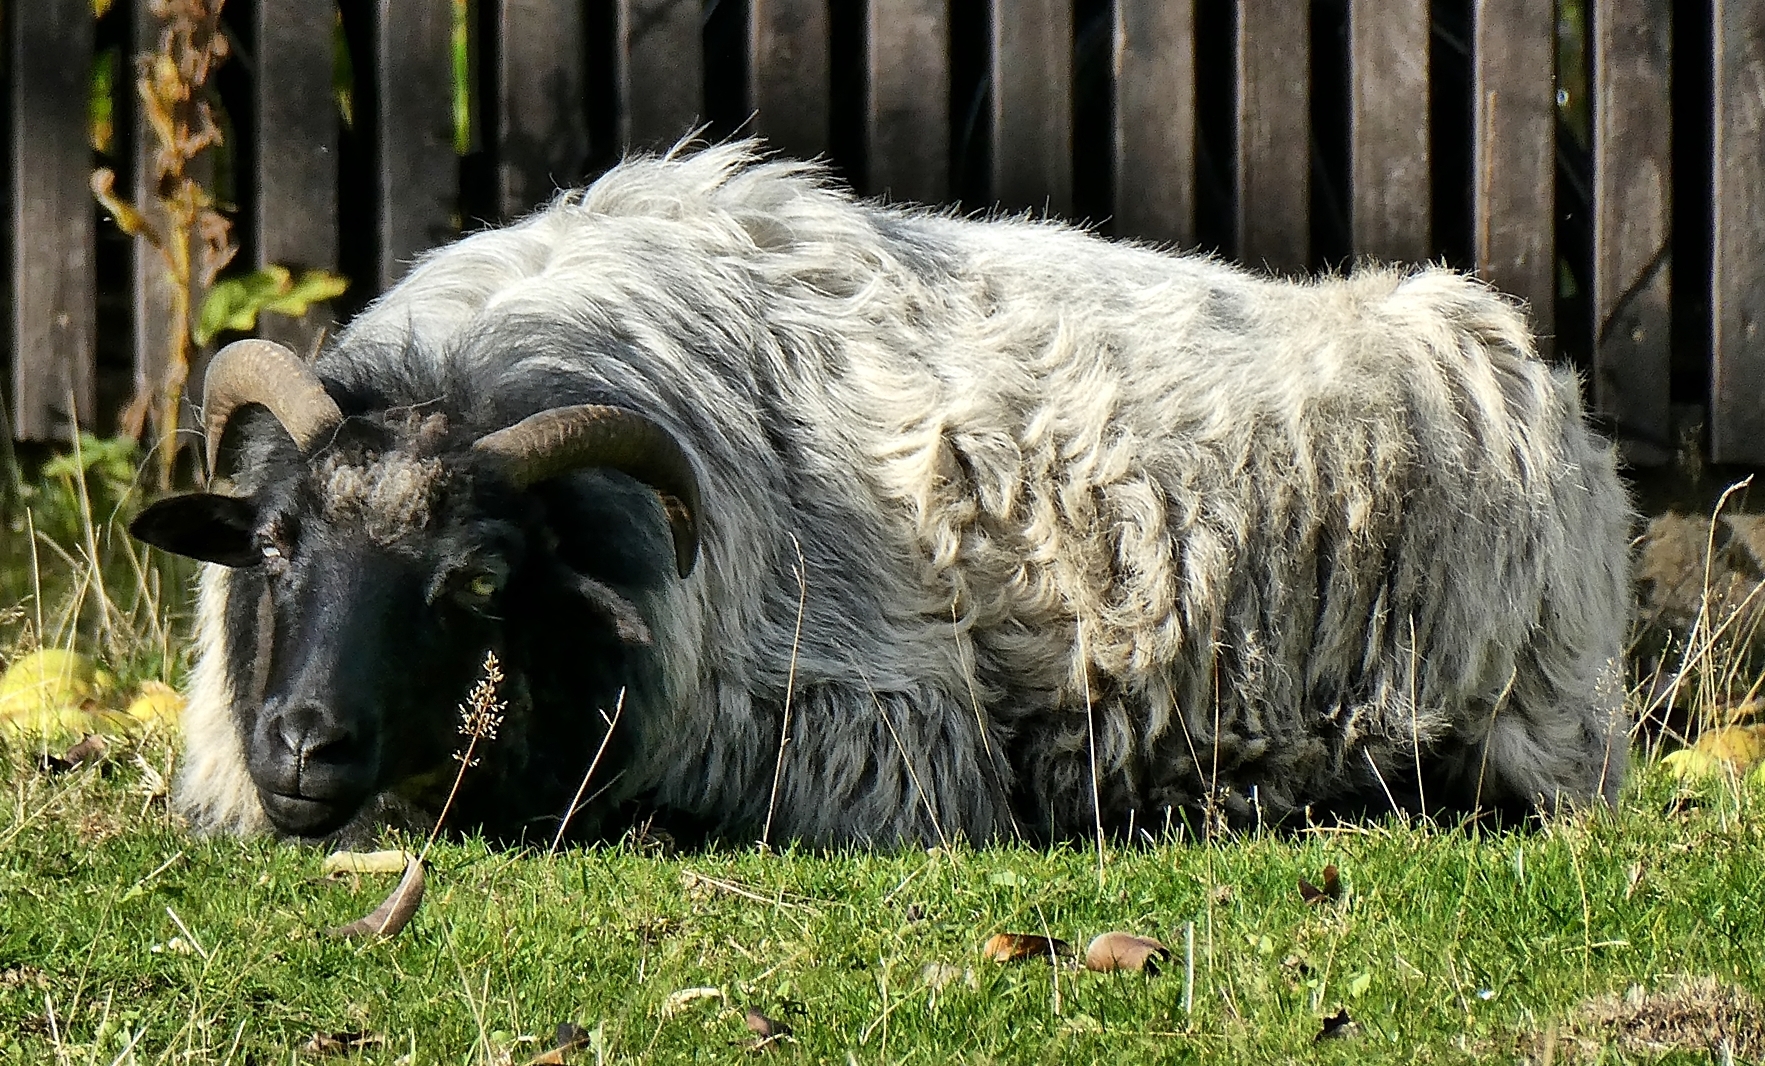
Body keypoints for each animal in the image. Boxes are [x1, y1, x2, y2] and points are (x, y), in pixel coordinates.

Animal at [130, 141, 1632, 845]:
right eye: (275, 543)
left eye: (481, 579)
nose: (305, 748)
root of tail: (1522, 362)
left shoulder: (875, 732)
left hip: (1528, 726)